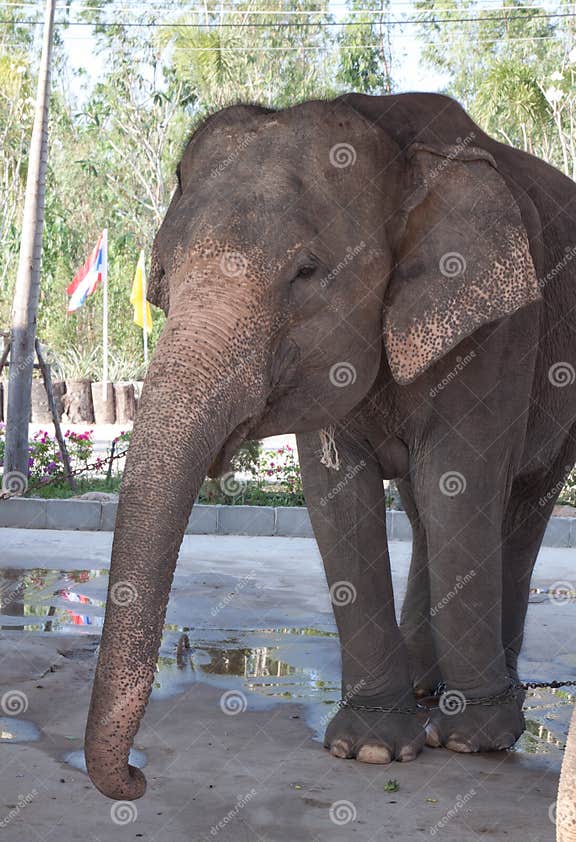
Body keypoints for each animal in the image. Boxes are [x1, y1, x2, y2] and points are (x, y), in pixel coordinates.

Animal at [83, 92, 576, 833]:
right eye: (161, 277)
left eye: (307, 273)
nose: (138, 779)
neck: (389, 139)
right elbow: (340, 494)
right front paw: (372, 749)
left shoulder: (498, 331)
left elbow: (460, 482)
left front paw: (468, 741)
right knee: (428, 511)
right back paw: (426, 688)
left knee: (518, 501)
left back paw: (483, 712)